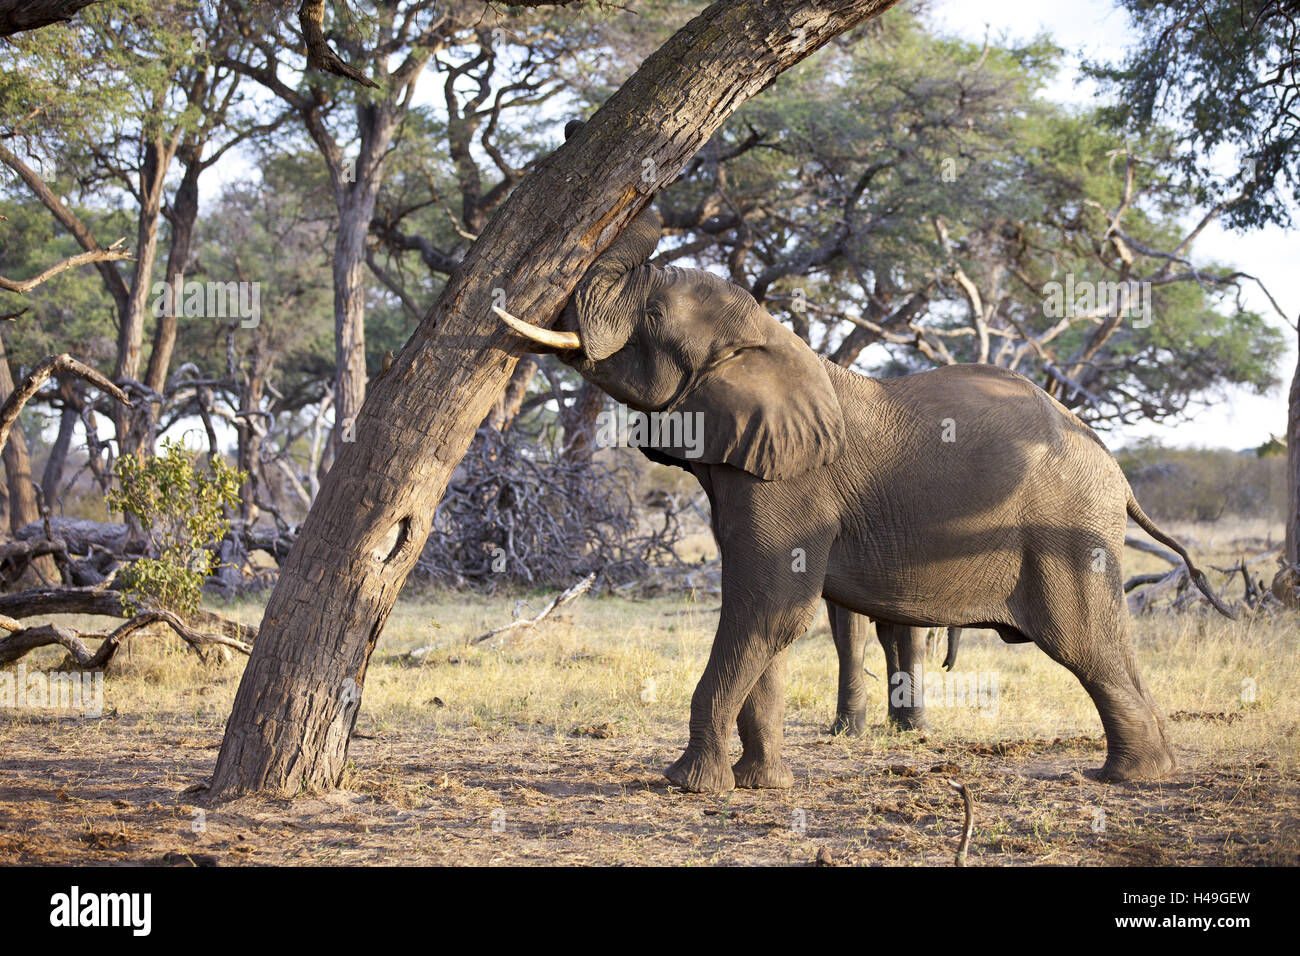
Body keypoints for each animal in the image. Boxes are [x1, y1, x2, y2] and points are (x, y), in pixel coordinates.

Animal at [494, 205, 1234, 793]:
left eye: (649, 315)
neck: (772, 340)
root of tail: (1119, 475)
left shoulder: (793, 483)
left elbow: (769, 608)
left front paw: (687, 785)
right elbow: (767, 616)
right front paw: (763, 784)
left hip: (1065, 532)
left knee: (1085, 644)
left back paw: (1131, 778)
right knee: (1107, 645)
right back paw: (1147, 772)